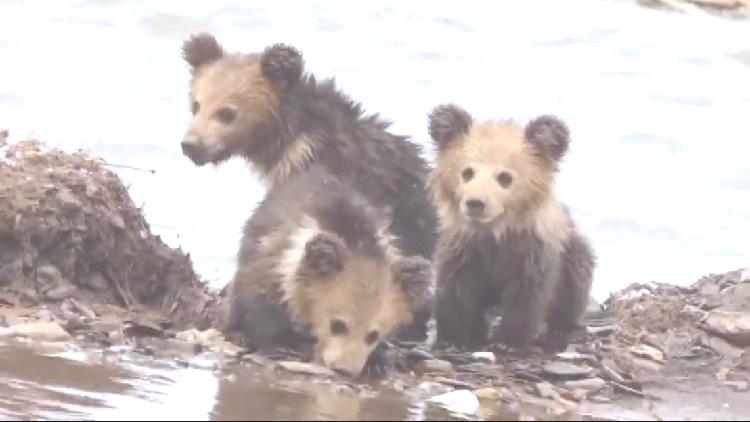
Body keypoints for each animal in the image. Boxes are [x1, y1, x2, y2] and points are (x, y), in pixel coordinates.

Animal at [223, 164, 433, 377]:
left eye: (373, 334)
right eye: (338, 324)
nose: (345, 369)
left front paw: (377, 361)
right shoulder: (273, 265)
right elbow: (259, 307)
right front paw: (280, 345)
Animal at [426, 103, 596, 352]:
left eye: (505, 177)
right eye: (467, 172)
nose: (475, 202)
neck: (496, 231)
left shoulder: (531, 251)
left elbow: (526, 295)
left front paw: (508, 342)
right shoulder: (464, 248)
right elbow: (456, 290)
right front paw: (455, 338)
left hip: (572, 248)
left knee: (577, 279)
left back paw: (561, 329)